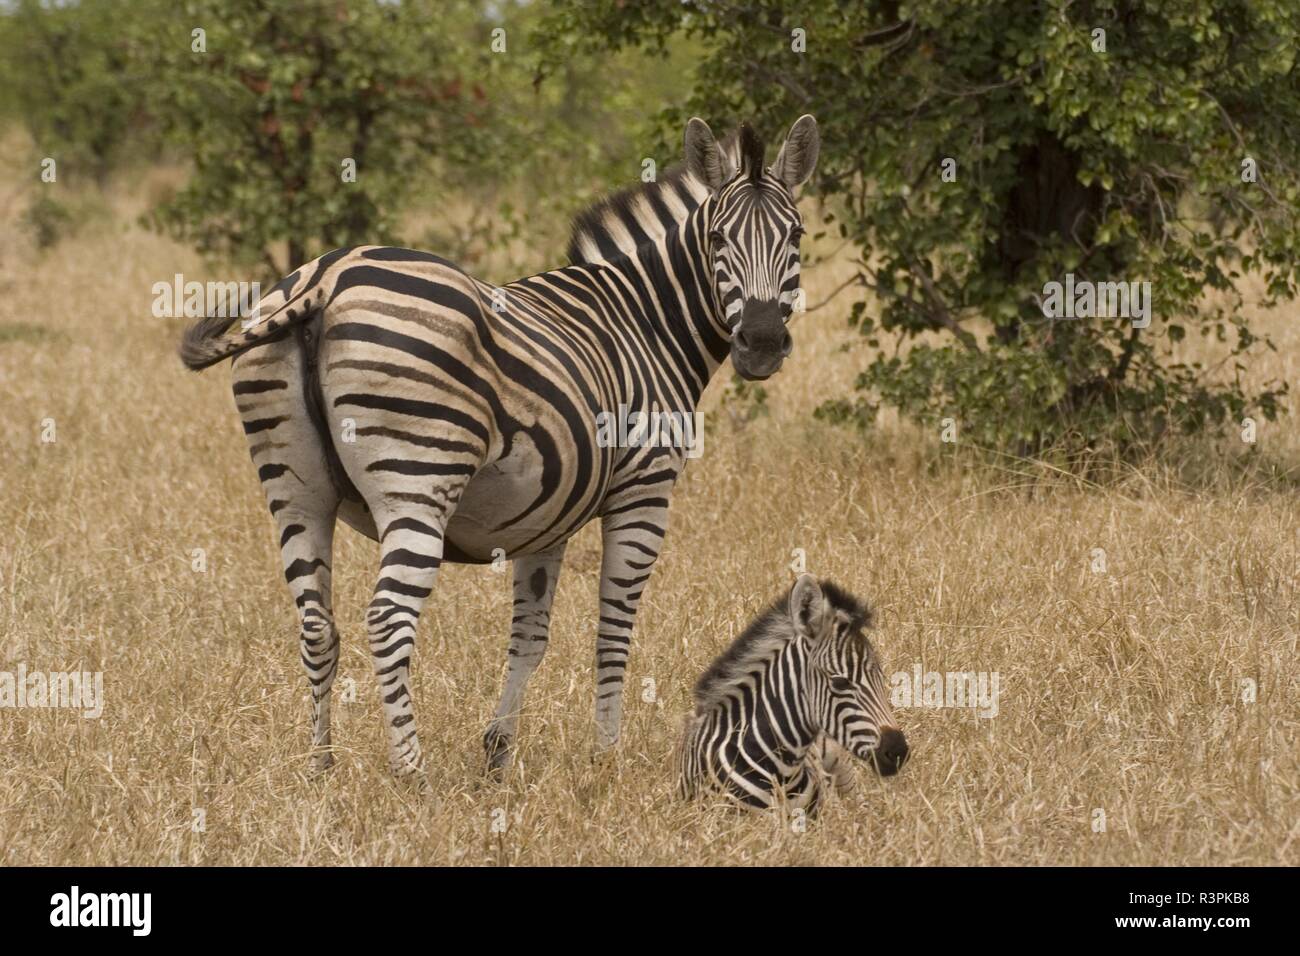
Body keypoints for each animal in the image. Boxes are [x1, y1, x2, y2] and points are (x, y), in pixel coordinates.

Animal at [178, 115, 821, 779]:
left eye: (797, 235)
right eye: (718, 239)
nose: (762, 342)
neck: (645, 321)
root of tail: (327, 279)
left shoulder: (547, 517)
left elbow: (530, 638)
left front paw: (497, 751)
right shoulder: (644, 491)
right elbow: (612, 630)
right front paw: (605, 755)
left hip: (294, 491)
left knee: (315, 626)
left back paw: (322, 764)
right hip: (418, 477)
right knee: (387, 621)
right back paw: (412, 772)